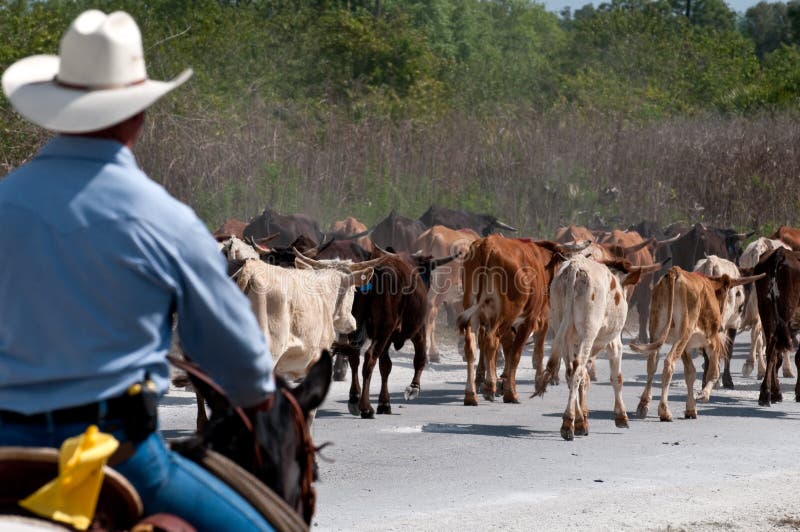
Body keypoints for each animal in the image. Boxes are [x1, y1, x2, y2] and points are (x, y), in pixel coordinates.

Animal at [533, 256, 660, 440]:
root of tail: (575, 266)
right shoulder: (615, 341)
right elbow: (616, 378)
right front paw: (621, 416)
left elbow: (584, 380)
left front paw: (583, 418)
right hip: (588, 331)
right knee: (577, 372)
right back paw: (568, 423)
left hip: (562, 330)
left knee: (572, 372)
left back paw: (577, 421)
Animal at [632, 267, 762, 421]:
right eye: (725, 294)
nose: (721, 326)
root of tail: (675, 272)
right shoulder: (712, 341)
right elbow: (713, 372)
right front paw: (703, 395)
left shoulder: (687, 347)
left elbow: (690, 373)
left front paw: (691, 408)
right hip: (683, 333)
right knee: (669, 363)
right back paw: (664, 410)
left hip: (656, 332)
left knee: (652, 364)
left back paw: (643, 405)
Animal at [754, 248, 800, 406]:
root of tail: (780, 252)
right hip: (785, 311)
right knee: (774, 351)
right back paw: (769, 392)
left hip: (765, 311)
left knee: (771, 350)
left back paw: (767, 393)